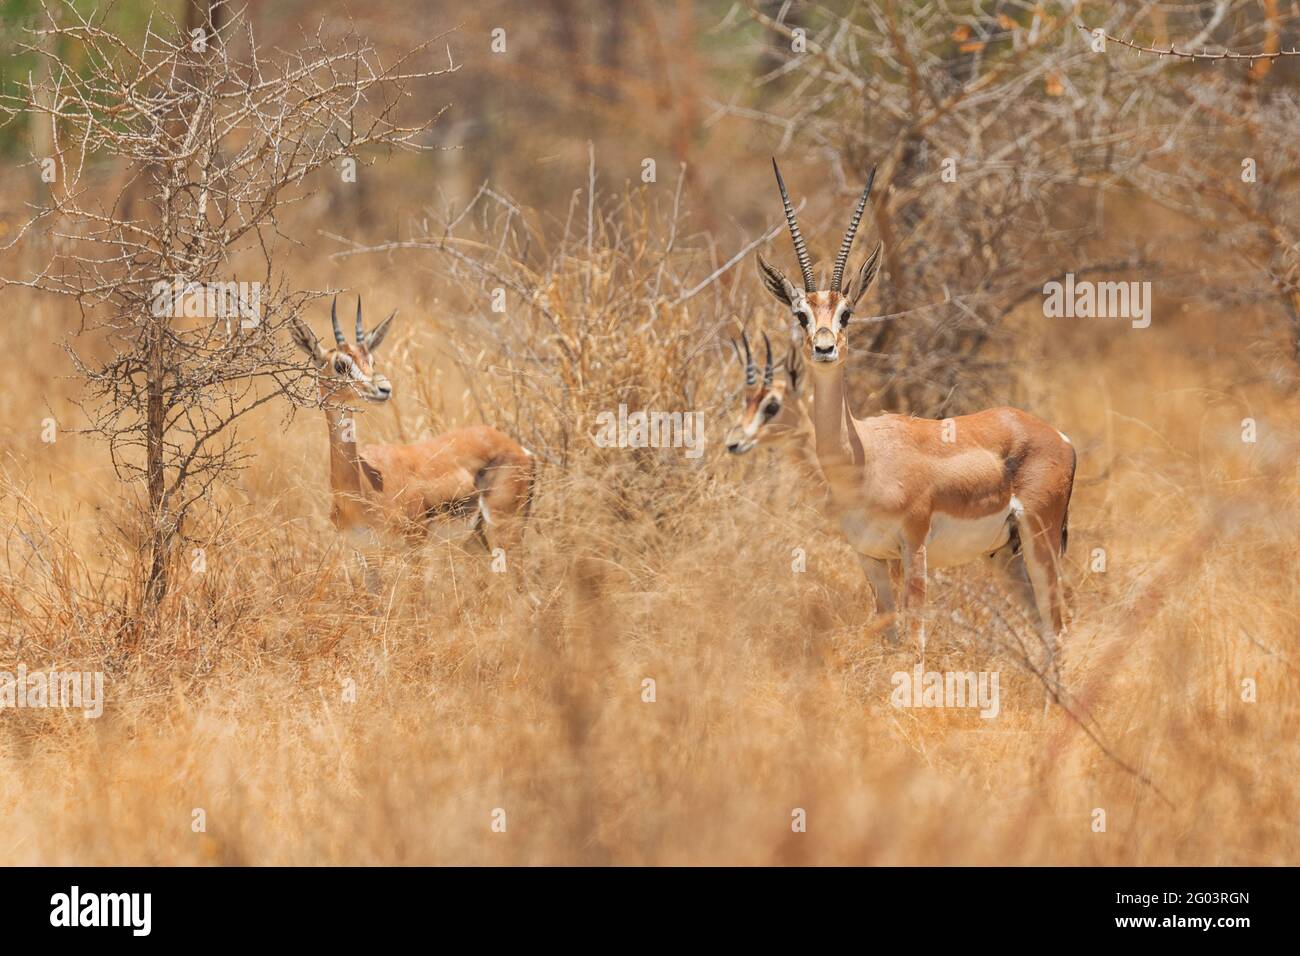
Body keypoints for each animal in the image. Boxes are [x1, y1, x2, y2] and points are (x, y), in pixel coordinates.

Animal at [288, 297, 534, 586]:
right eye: (341, 364)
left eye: (371, 359)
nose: (384, 389)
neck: (361, 485)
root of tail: (521, 450)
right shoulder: (366, 554)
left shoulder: (414, 544)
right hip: (479, 535)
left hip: (505, 528)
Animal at [756, 159, 1077, 659]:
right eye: (800, 314)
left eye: (846, 312)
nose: (825, 348)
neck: (863, 459)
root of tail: (1058, 437)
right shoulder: (869, 556)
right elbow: (889, 638)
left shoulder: (914, 545)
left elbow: (915, 641)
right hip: (1003, 555)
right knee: (1045, 632)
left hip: (1040, 540)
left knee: (1060, 629)